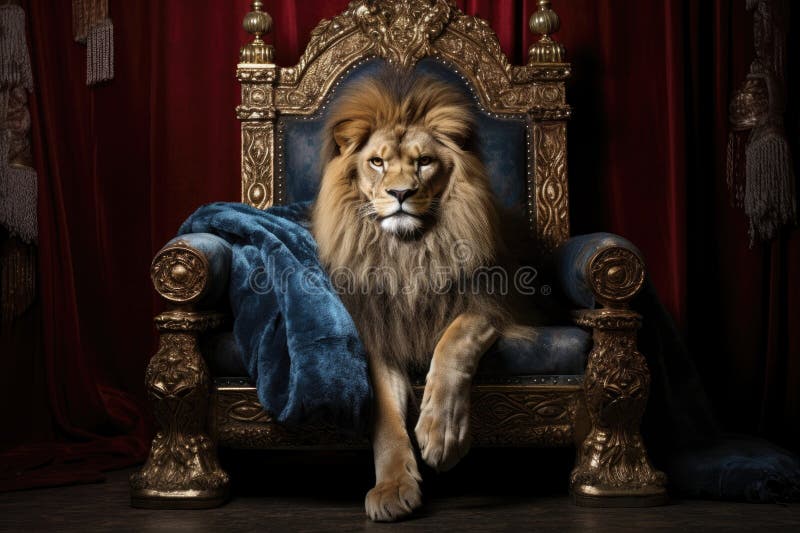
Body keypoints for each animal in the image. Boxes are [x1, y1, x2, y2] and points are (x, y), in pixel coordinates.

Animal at [312, 72, 525, 522]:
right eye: (377, 162)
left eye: (424, 161)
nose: (400, 194)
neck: (408, 253)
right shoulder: (378, 333)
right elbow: (386, 420)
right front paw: (393, 488)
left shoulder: (491, 307)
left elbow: (452, 344)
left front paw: (441, 435)